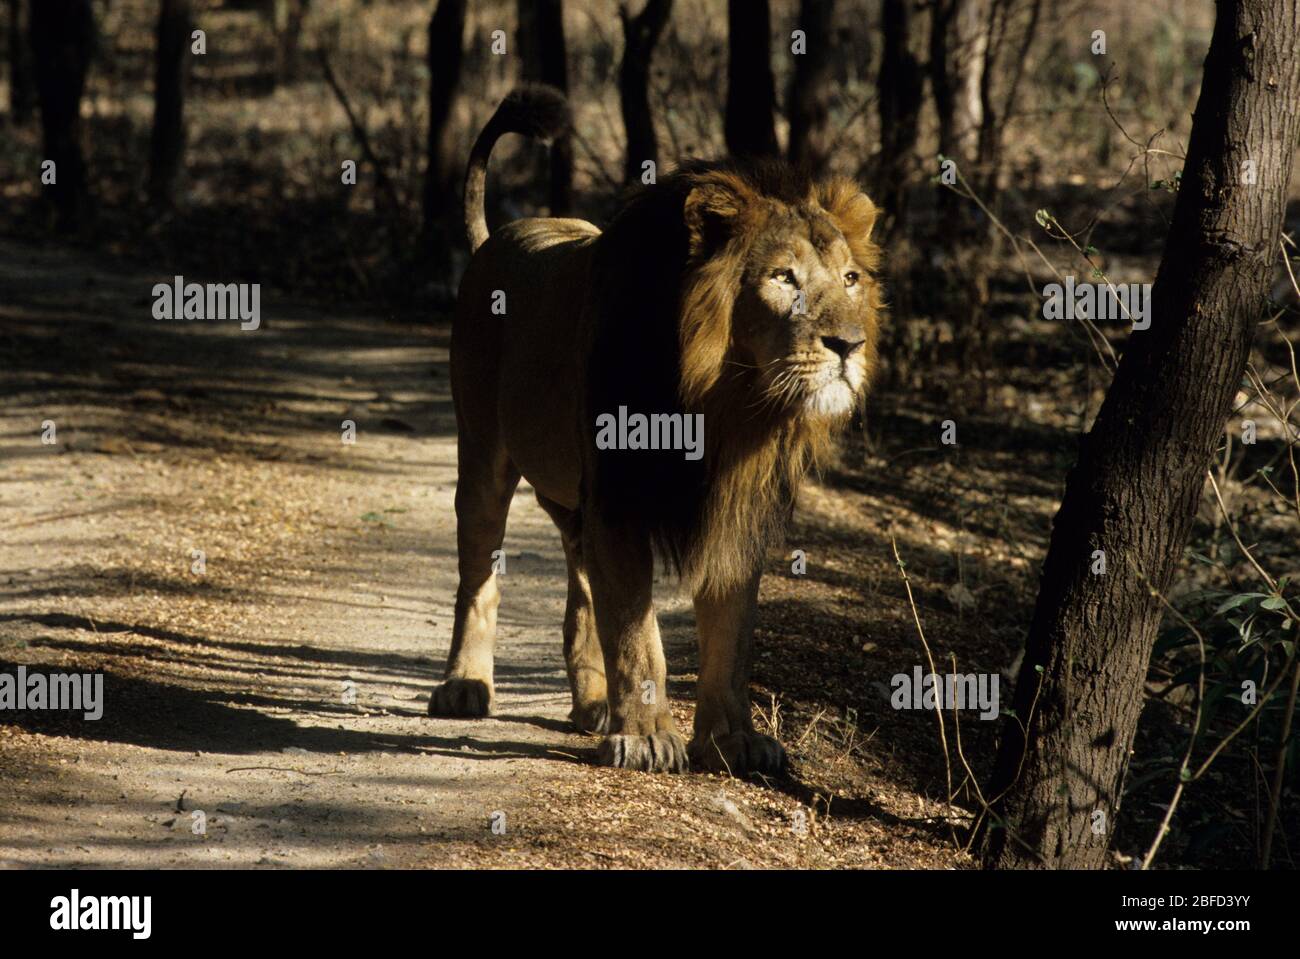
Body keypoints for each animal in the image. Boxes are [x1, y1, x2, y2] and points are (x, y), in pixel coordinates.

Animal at [429, 85, 884, 776]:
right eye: (783, 277)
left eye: (851, 279)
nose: (849, 345)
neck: (726, 401)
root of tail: (495, 238)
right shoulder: (618, 495)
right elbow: (636, 631)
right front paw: (645, 737)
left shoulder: (736, 505)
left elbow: (730, 636)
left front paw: (732, 740)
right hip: (484, 452)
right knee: (478, 574)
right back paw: (464, 685)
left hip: (571, 495)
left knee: (580, 588)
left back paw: (592, 704)